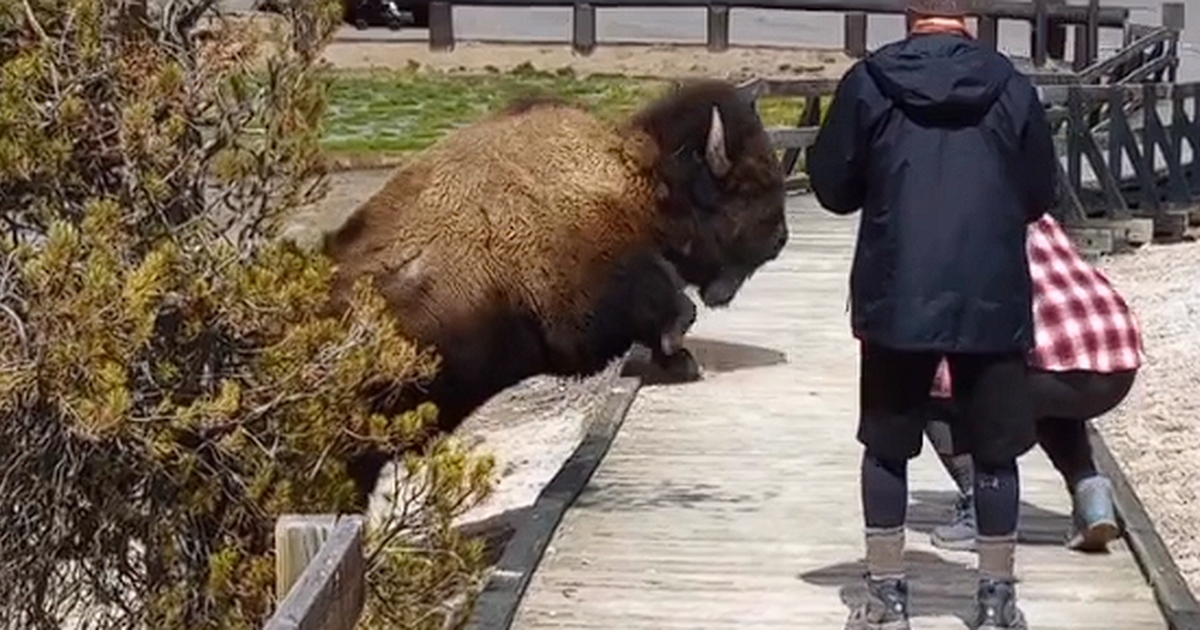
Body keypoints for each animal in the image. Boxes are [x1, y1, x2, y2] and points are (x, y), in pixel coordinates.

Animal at [323, 79, 787, 494]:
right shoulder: (593, 296)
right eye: (747, 185)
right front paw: (683, 359)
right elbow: (672, 309)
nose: (781, 239)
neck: (637, 180)